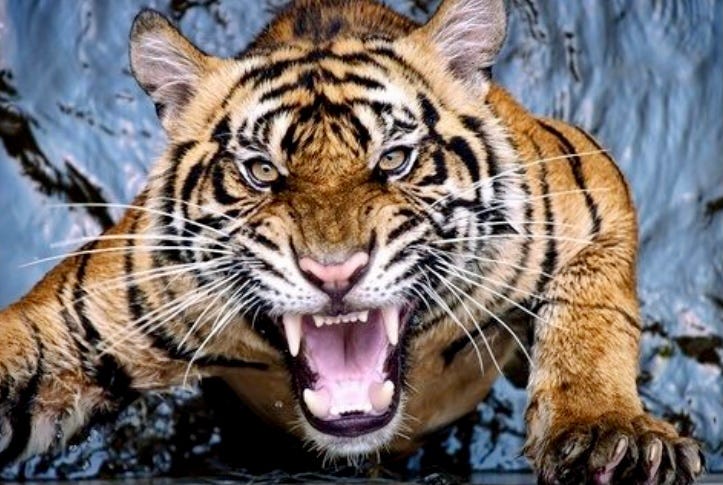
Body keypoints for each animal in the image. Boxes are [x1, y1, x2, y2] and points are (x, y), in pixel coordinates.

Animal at [0, 0, 705, 482]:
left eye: (393, 159)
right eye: (262, 171)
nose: (334, 272)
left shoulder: (589, 189)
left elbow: (592, 314)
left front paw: (609, 433)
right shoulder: (77, 322)